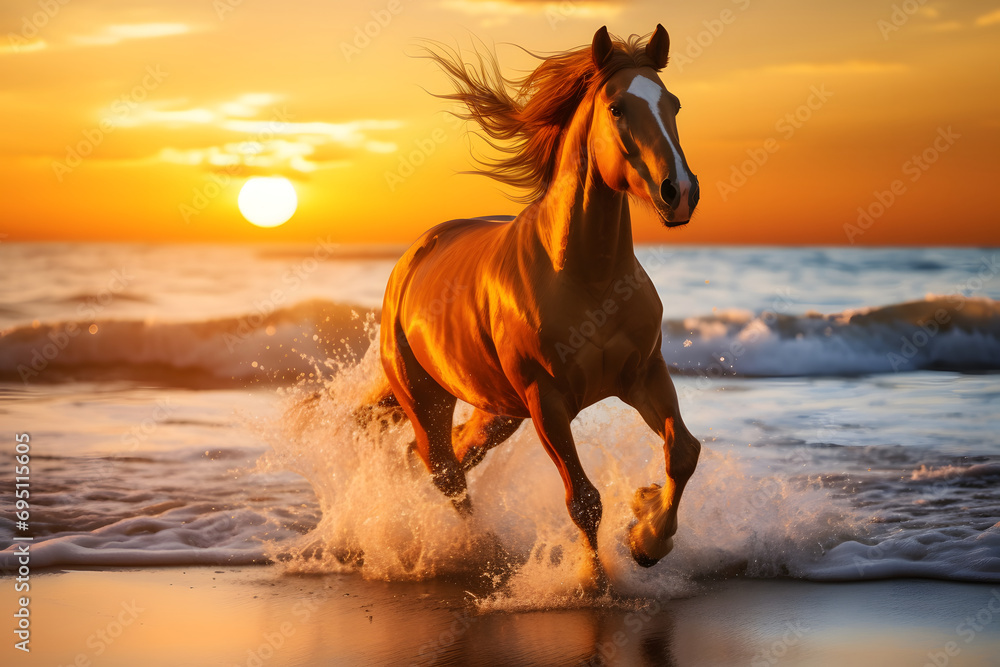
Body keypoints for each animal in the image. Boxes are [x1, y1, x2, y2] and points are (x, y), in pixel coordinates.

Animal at [363, 25, 701, 590]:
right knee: (444, 469)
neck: (587, 277)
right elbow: (583, 500)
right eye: (616, 107)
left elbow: (683, 452)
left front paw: (647, 538)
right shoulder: (547, 400)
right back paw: (482, 552)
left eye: (673, 103)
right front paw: (595, 580)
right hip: (429, 399)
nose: (679, 193)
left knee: (453, 454)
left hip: (498, 411)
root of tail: (413, 259)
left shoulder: (644, 376)